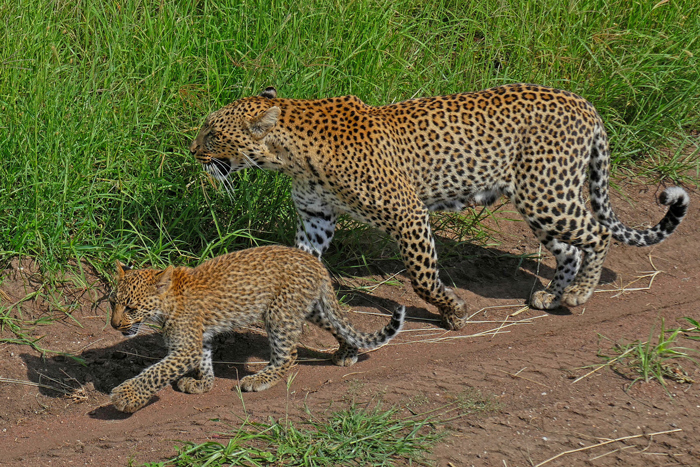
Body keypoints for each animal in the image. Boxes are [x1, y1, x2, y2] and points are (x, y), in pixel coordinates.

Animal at [109, 245, 405, 413]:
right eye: (113, 303)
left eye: (131, 308)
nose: (114, 324)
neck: (168, 302)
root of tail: (315, 262)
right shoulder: (200, 340)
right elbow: (204, 361)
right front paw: (202, 384)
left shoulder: (186, 348)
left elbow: (154, 372)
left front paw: (126, 396)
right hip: (310, 307)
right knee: (340, 323)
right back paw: (347, 353)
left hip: (278, 312)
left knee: (289, 355)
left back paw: (259, 379)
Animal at [189, 83, 689, 332]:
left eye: (212, 133)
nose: (192, 152)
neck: (290, 156)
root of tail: (585, 103)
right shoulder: (316, 219)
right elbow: (302, 261)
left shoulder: (407, 213)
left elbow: (422, 277)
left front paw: (452, 311)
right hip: (537, 200)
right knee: (569, 248)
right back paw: (550, 295)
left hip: (547, 192)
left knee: (596, 234)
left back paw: (579, 293)